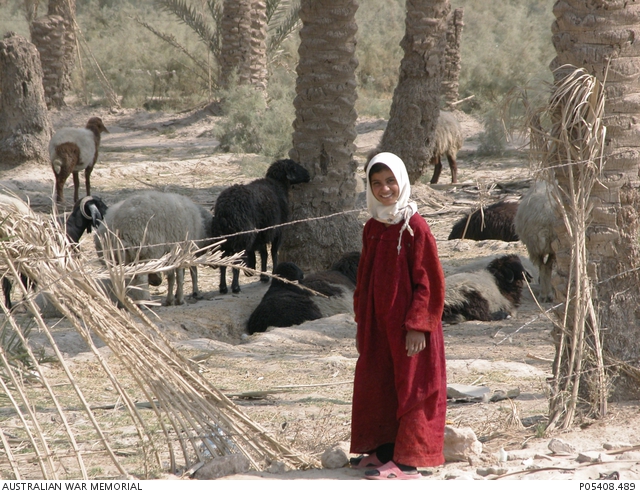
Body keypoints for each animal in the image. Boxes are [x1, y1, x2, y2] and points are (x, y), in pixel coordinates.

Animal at [213, 158, 310, 294]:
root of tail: (225, 209)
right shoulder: (278, 230)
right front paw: (275, 273)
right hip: (242, 235)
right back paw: (235, 287)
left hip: (224, 237)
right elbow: (274, 252)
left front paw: (263, 275)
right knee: (236, 260)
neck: (278, 185)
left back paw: (223, 287)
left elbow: (263, 253)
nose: (308, 175)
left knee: (223, 259)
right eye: (294, 168)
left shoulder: (262, 233)